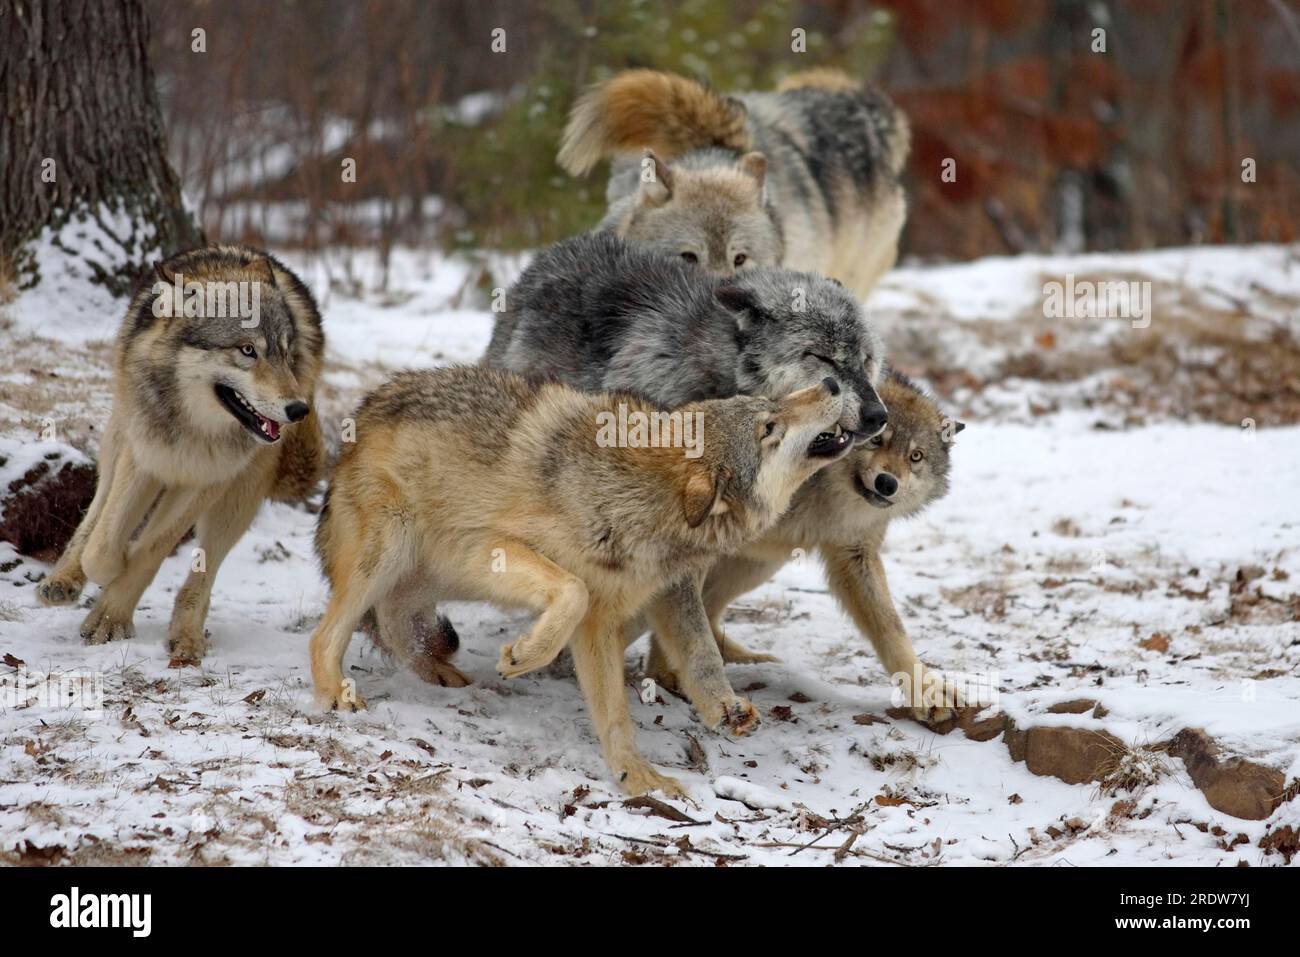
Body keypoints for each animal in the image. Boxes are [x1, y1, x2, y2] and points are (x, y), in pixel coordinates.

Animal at [37, 245, 325, 663]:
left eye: (286, 354)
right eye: (248, 350)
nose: (298, 409)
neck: (194, 428)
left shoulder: (209, 481)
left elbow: (151, 549)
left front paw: (110, 615)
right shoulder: (143, 458)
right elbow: (103, 547)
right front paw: (108, 573)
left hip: (238, 496)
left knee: (203, 569)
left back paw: (186, 636)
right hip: (119, 437)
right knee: (97, 510)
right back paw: (63, 579)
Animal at [310, 366, 851, 796]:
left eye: (771, 406)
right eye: (769, 427)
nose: (832, 382)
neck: (638, 494)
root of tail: (368, 404)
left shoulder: (628, 609)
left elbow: (648, 690)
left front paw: (640, 772)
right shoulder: (487, 548)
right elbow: (572, 591)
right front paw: (522, 656)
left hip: (426, 574)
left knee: (394, 619)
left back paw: (437, 671)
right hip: (397, 549)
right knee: (327, 633)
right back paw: (336, 691)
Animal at [643, 369, 966, 722]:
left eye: (915, 456)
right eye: (877, 440)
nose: (887, 483)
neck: (820, 496)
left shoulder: (855, 553)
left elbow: (891, 628)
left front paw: (926, 691)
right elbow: (680, 614)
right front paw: (666, 677)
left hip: (761, 564)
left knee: (711, 612)